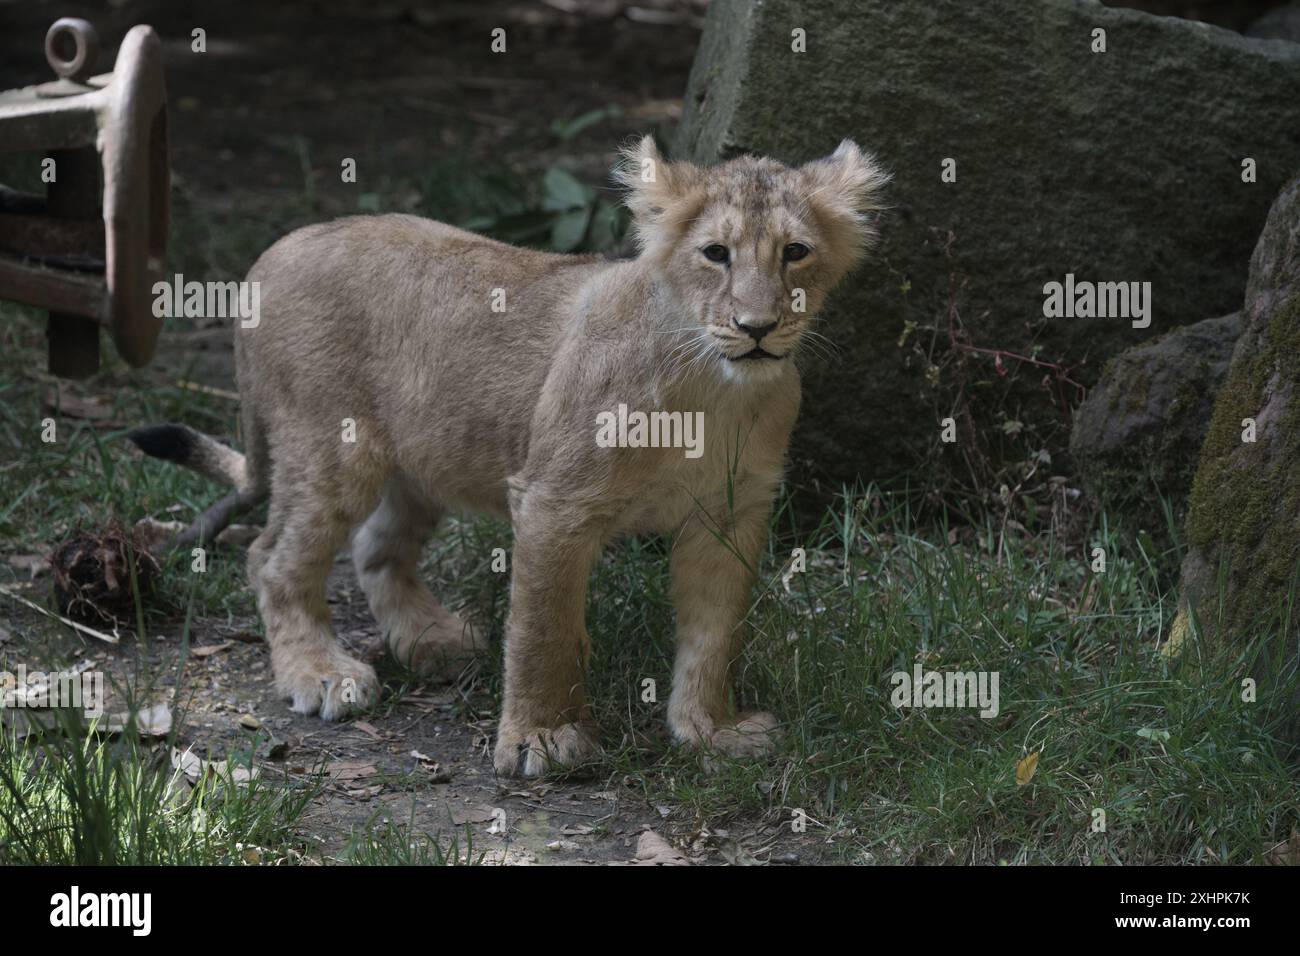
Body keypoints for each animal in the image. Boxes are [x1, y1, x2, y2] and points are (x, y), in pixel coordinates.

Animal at [128, 136, 888, 777]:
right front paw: (540, 739)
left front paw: (709, 731)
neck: (714, 388)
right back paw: (320, 673)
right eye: (716, 254)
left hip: (424, 454)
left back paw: (432, 640)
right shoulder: (556, 501)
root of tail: (275, 250)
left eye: (795, 252)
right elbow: (543, 630)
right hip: (330, 451)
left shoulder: (731, 515)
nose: (758, 328)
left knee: (376, 546)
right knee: (273, 557)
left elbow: (715, 634)